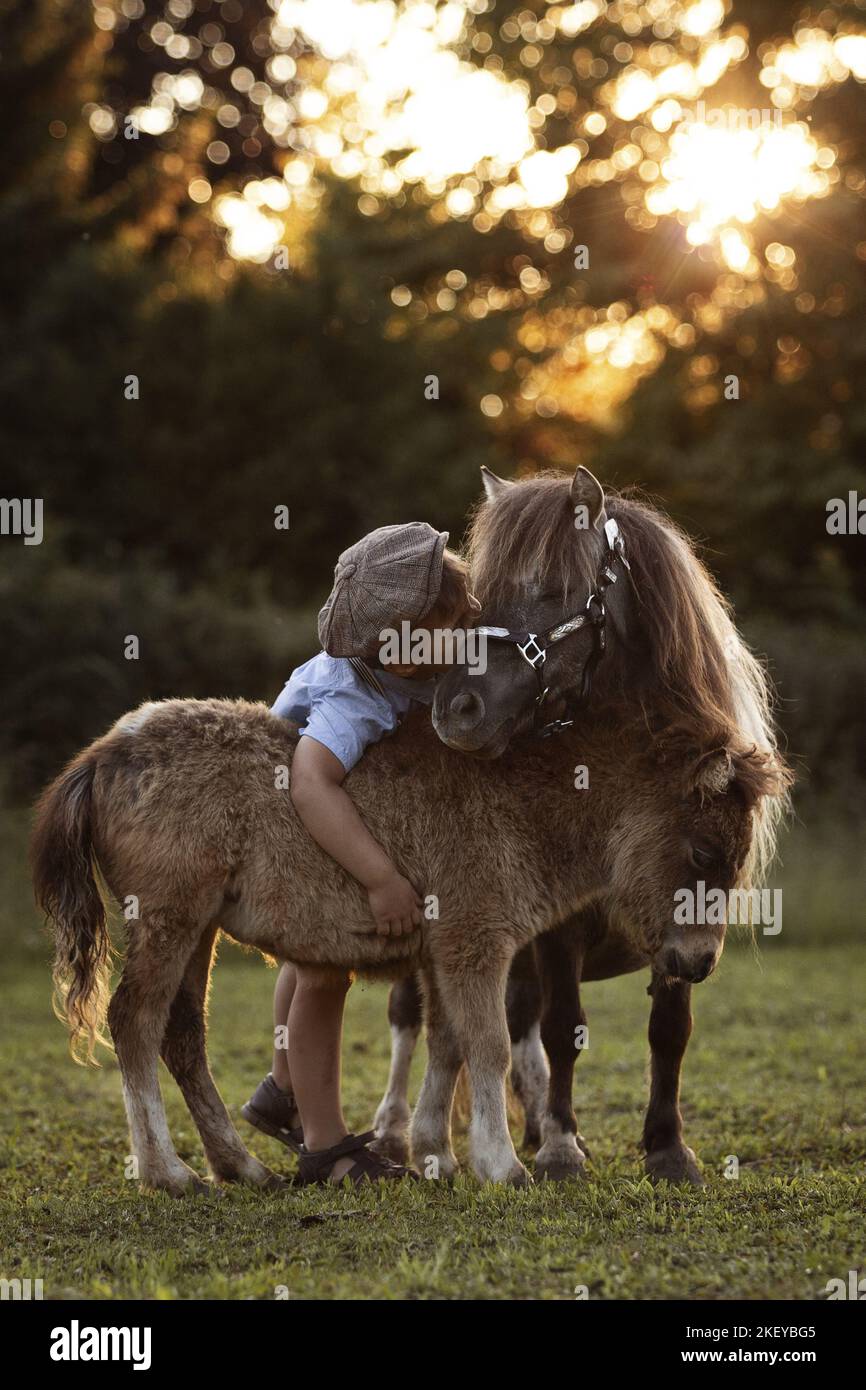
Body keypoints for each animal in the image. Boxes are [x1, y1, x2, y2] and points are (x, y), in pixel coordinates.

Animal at [372, 464, 789, 1182]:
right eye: (481, 597)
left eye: (553, 589)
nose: (457, 709)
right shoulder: (560, 930)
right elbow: (564, 1026)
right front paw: (562, 1147)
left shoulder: (678, 922)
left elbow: (668, 1030)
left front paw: (667, 1146)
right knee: (416, 1016)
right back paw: (401, 1131)